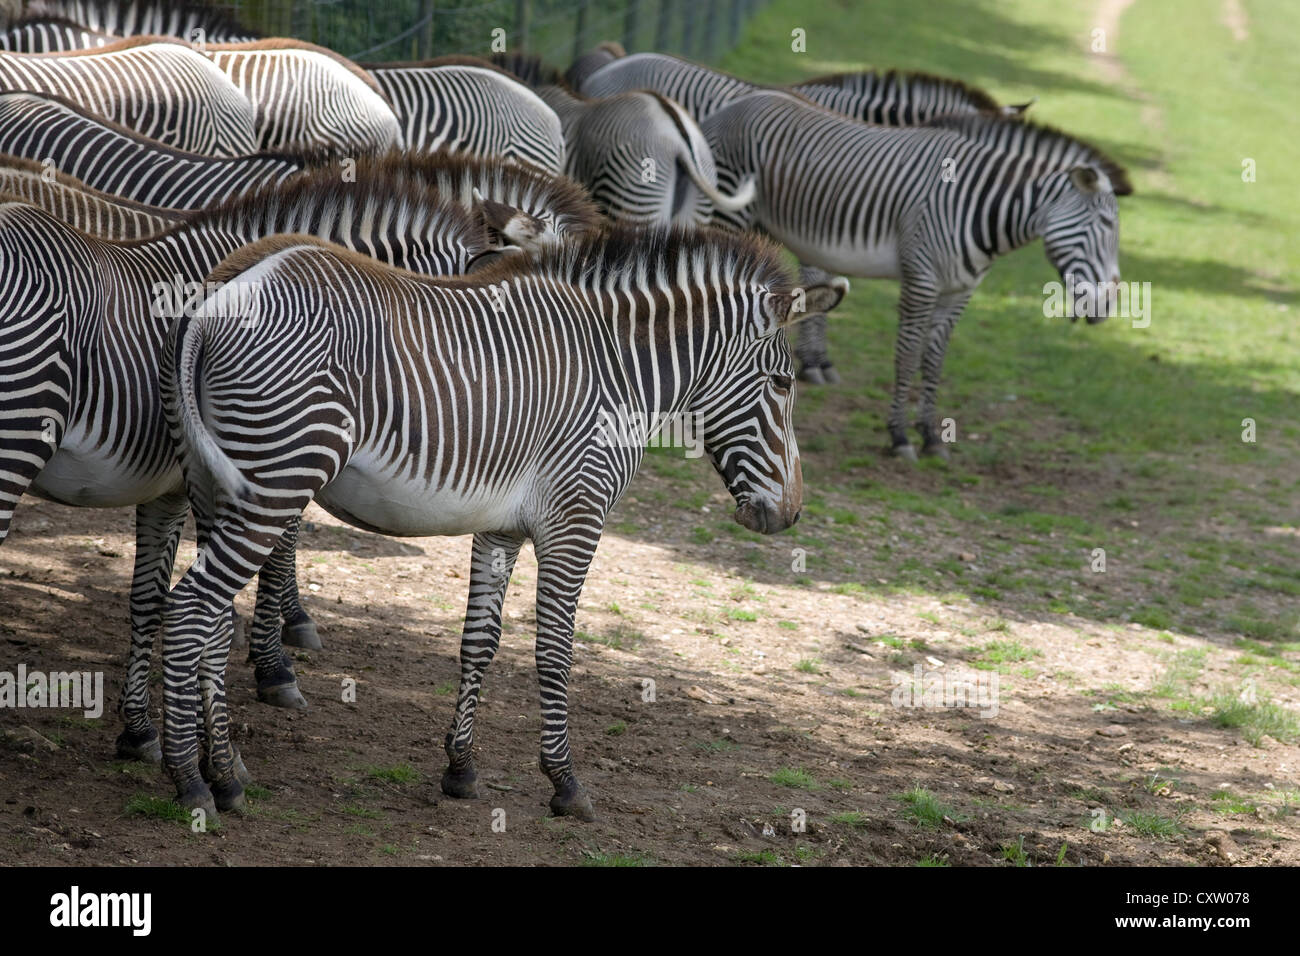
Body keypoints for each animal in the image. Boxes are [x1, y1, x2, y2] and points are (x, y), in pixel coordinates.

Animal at [0, 167, 530, 765]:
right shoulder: (269, 463)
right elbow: (274, 560)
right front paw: (273, 671)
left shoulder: (180, 486)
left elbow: (150, 599)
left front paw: (143, 730)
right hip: (19, 435)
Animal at [158, 224, 807, 820]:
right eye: (783, 383)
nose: (791, 515)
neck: (619, 368)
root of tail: (222, 293)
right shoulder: (576, 519)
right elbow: (555, 650)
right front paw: (565, 782)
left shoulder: (503, 527)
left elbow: (480, 641)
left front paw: (461, 768)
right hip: (275, 480)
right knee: (190, 609)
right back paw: (194, 779)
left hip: (213, 486)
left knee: (214, 621)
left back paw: (223, 768)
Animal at [701, 90, 1124, 458]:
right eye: (1107, 224)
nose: (1107, 307)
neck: (976, 205)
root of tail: (734, 106)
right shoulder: (921, 281)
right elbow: (906, 356)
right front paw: (900, 436)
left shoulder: (958, 293)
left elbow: (934, 359)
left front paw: (932, 437)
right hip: (730, 212)